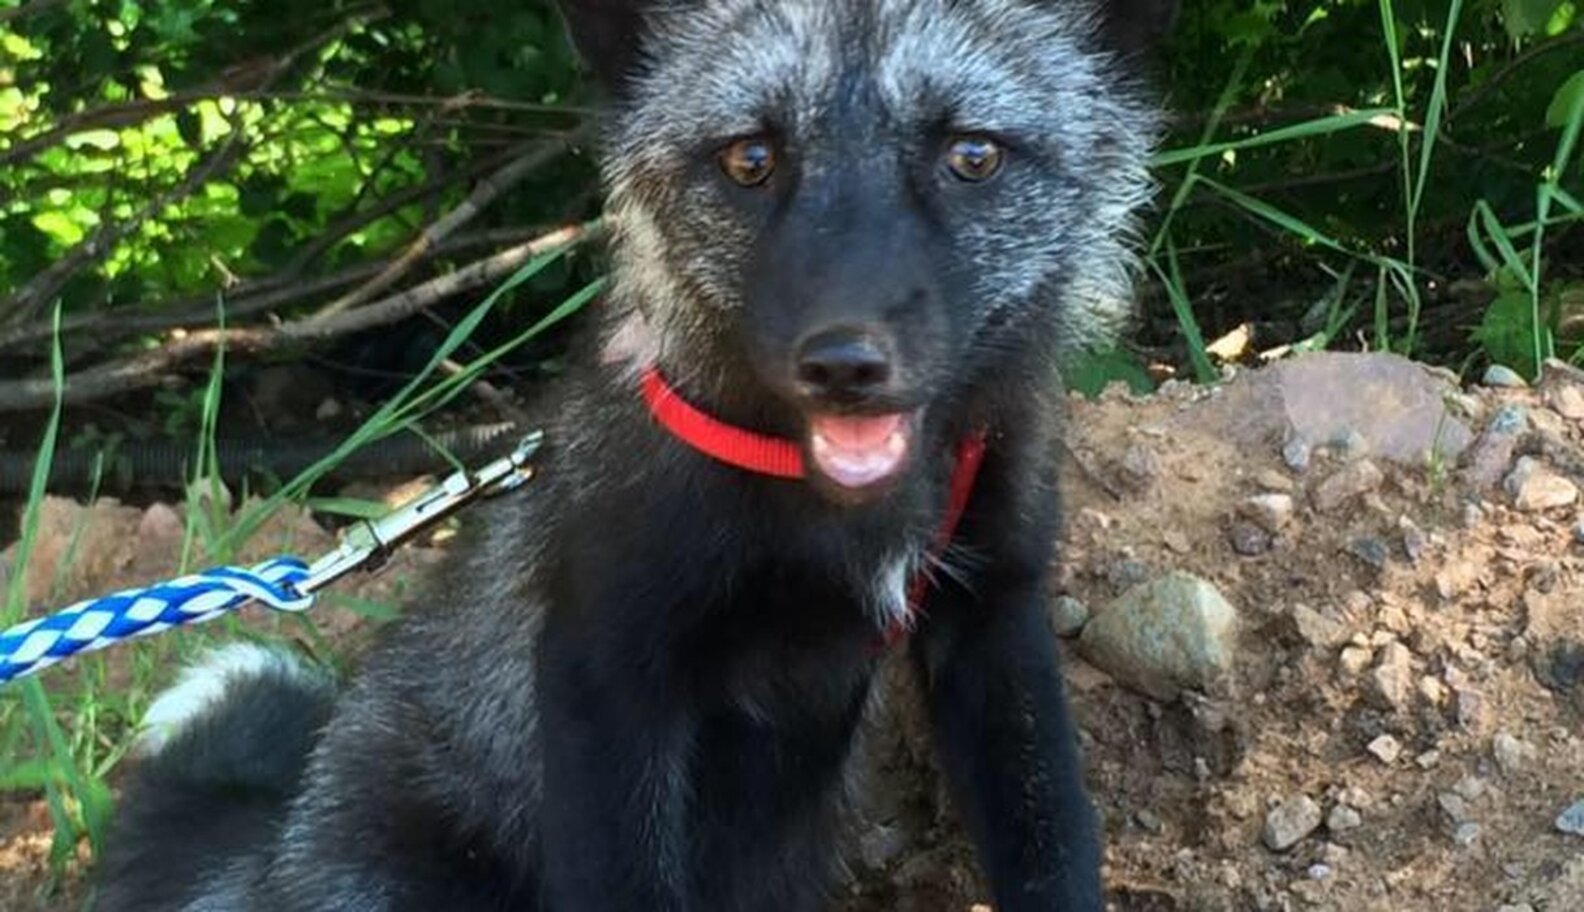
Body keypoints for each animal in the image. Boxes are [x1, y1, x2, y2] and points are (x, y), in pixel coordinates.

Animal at [97, 1, 1175, 909]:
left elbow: (1051, 841)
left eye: (973, 155)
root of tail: (279, 847)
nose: (843, 362)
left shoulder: (992, 619)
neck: (836, 516)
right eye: (750, 158)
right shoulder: (607, 669)